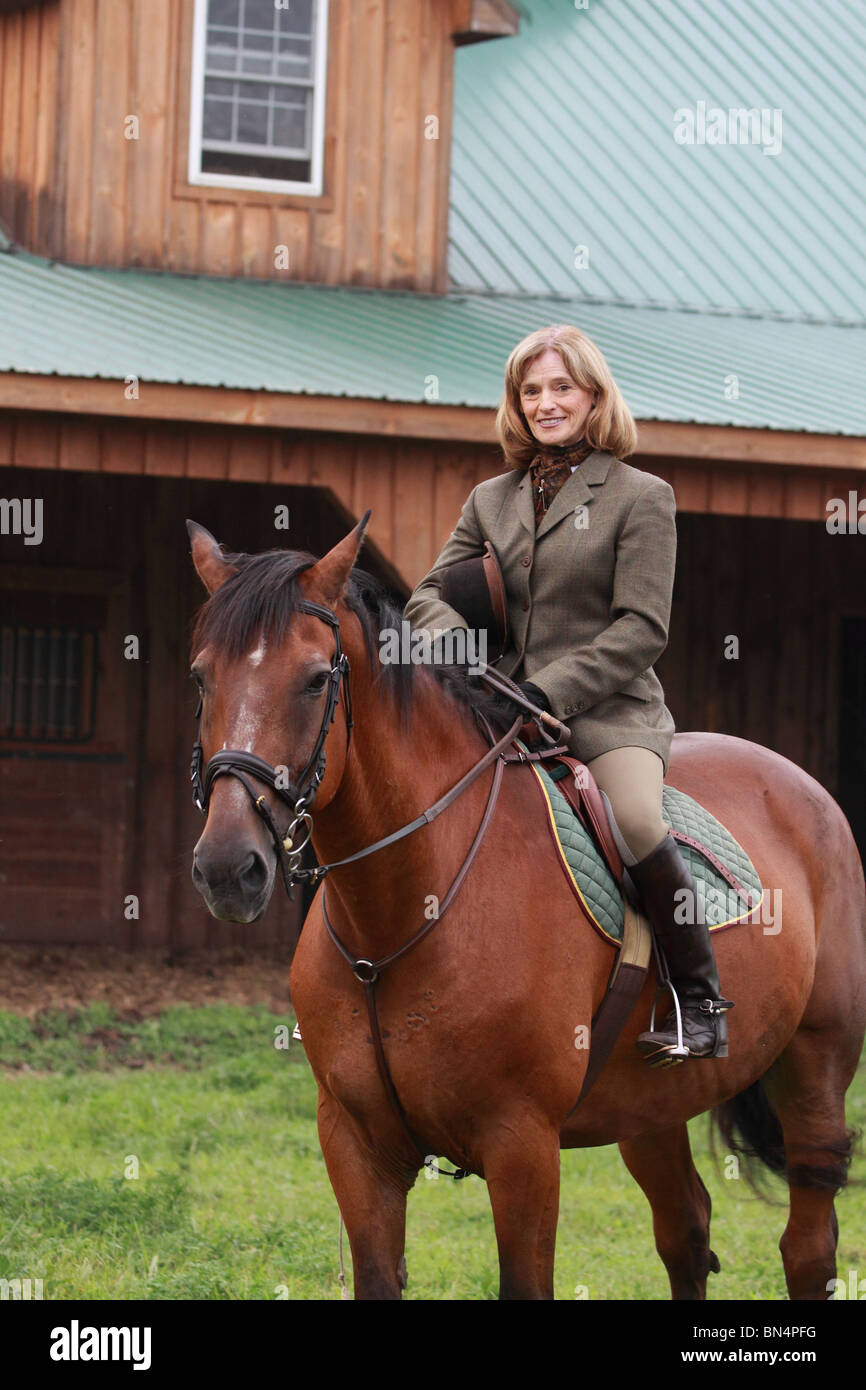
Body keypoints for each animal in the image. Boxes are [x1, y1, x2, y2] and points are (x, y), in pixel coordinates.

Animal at [186, 513, 866, 1301]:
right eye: (201, 676)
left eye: (316, 678)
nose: (228, 868)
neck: (403, 916)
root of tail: (797, 779)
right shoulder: (354, 1144)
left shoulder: (523, 1145)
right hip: (649, 1105)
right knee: (686, 1232)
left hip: (817, 1061)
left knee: (807, 1242)